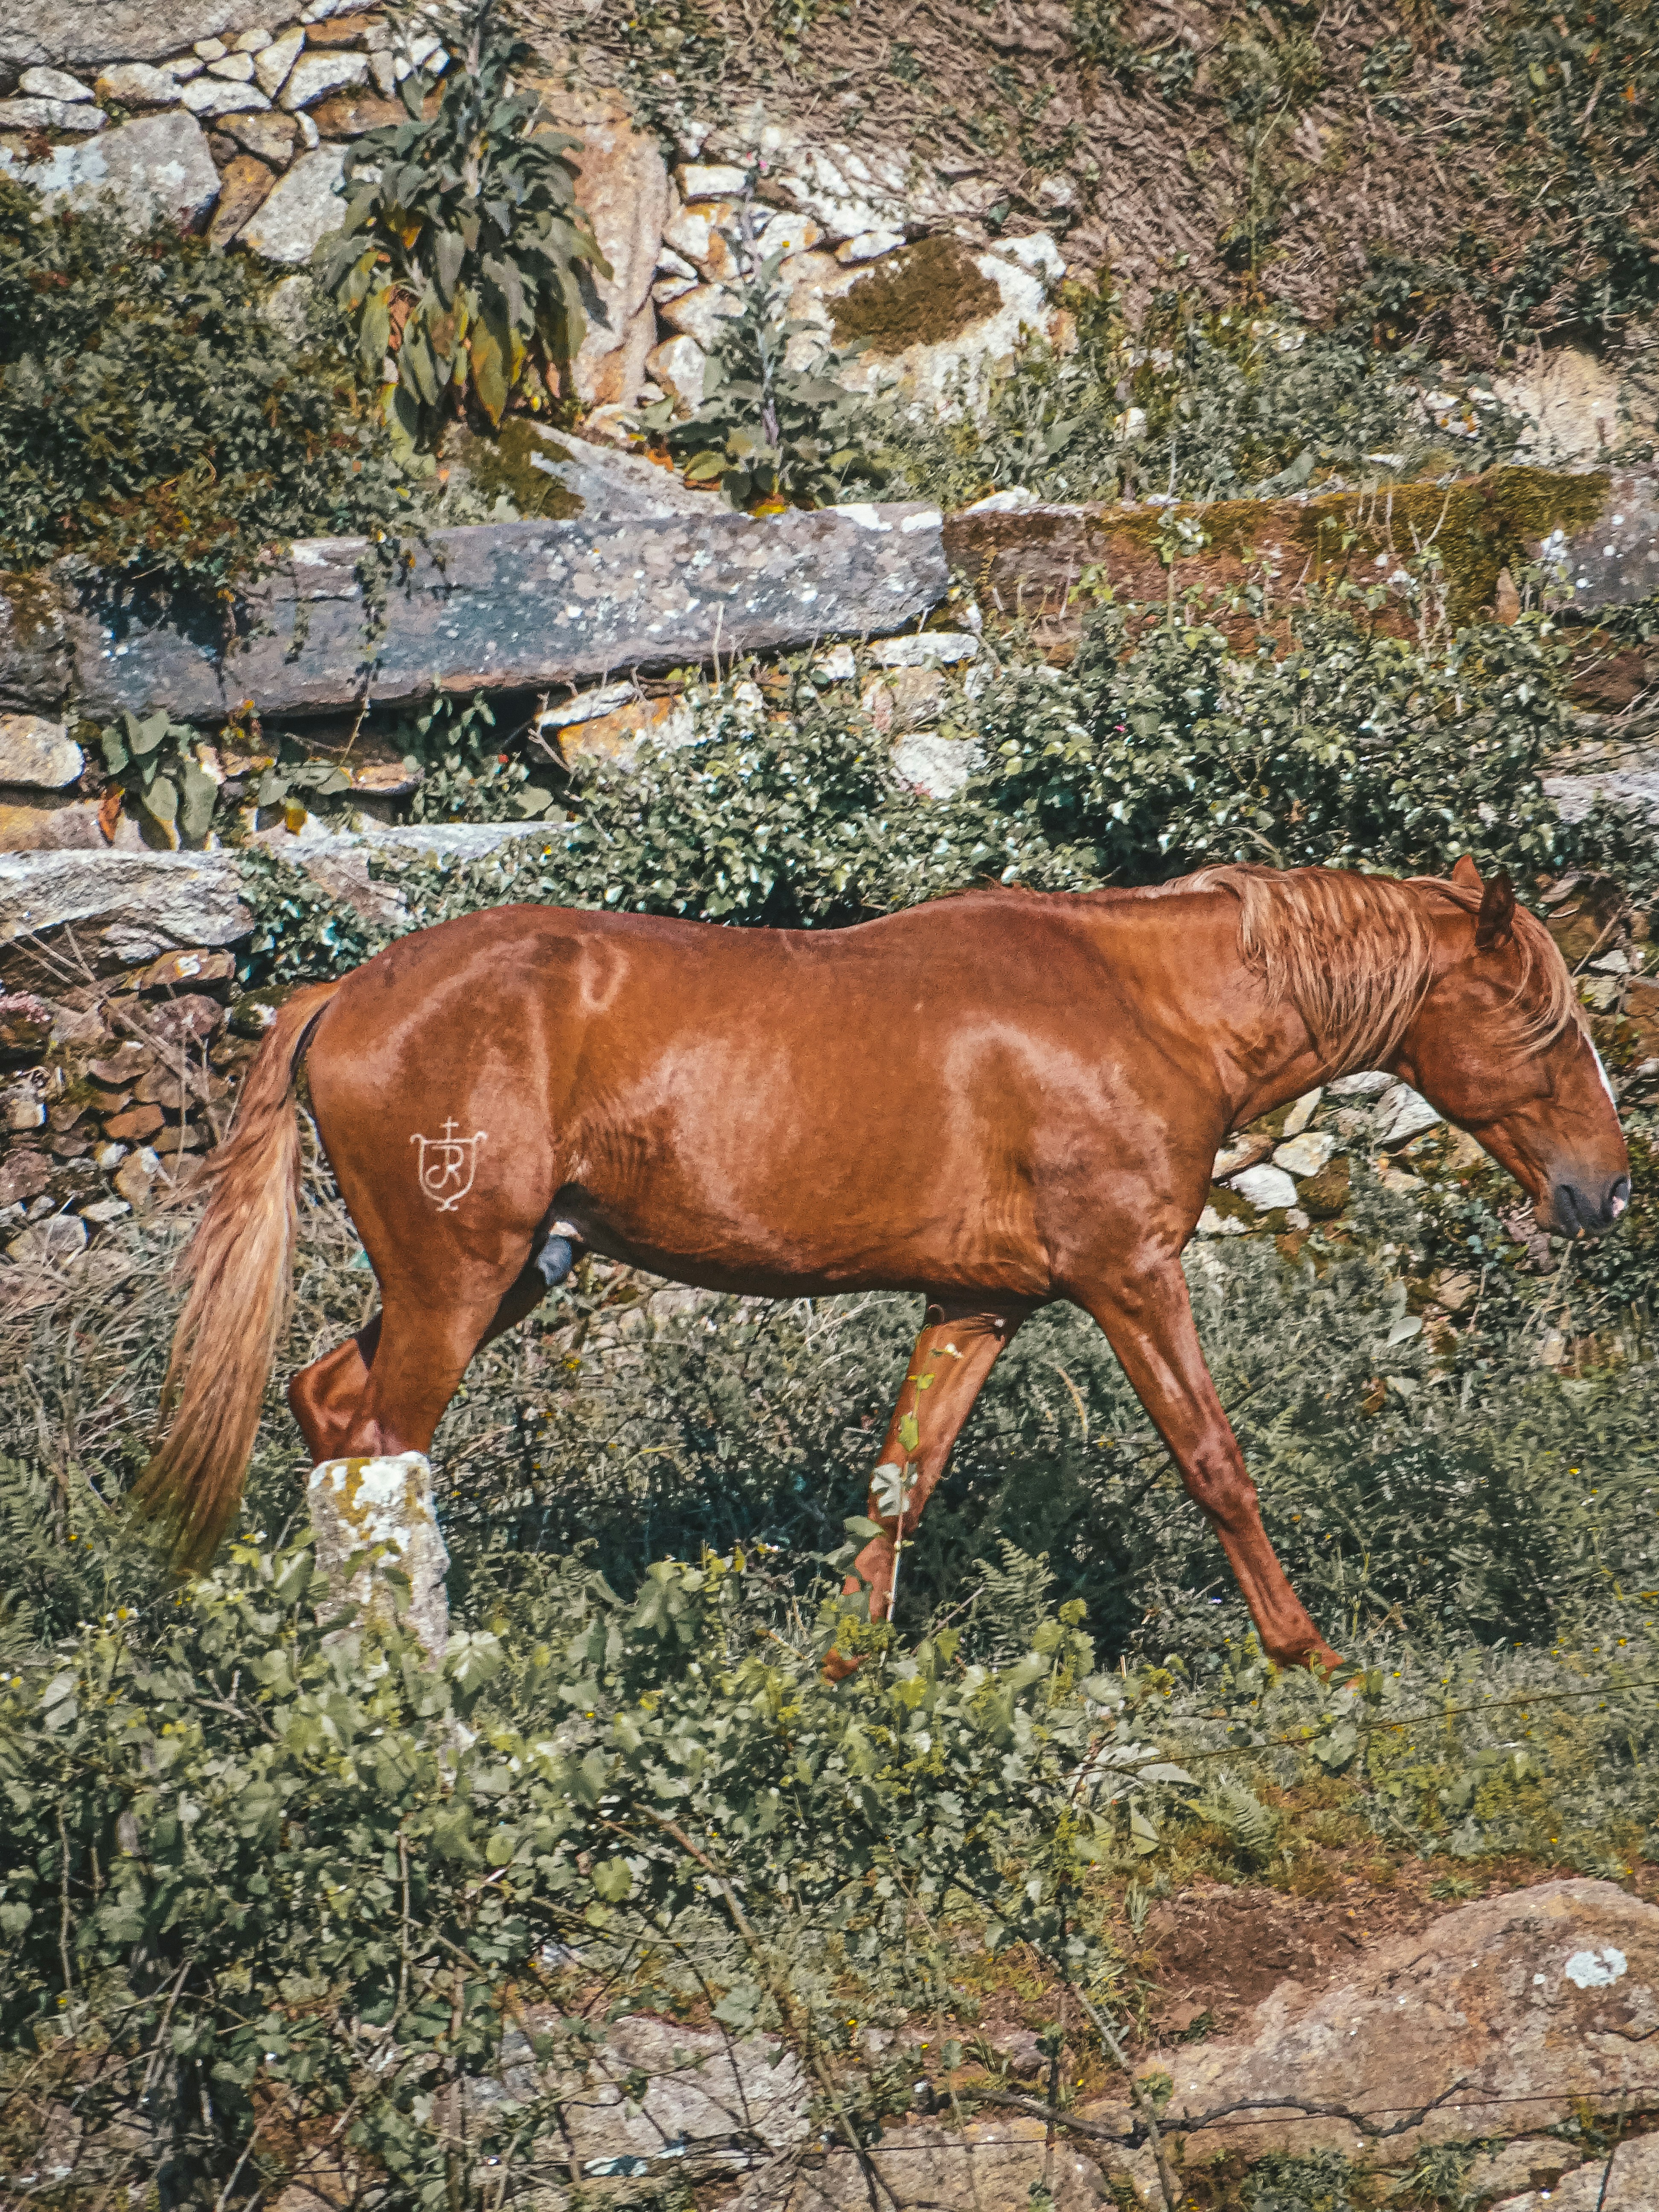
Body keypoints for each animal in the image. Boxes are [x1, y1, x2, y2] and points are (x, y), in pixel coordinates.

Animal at [134, 857, 1628, 1671]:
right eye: (1549, 1025)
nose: (1606, 1189)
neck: (1142, 1008)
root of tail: (346, 992)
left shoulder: (979, 1305)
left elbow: (899, 1485)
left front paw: (846, 1667)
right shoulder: (1129, 1278)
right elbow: (1217, 1463)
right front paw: (1308, 1651)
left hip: (499, 1280)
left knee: (331, 1411)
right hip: (458, 1285)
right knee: (383, 1455)